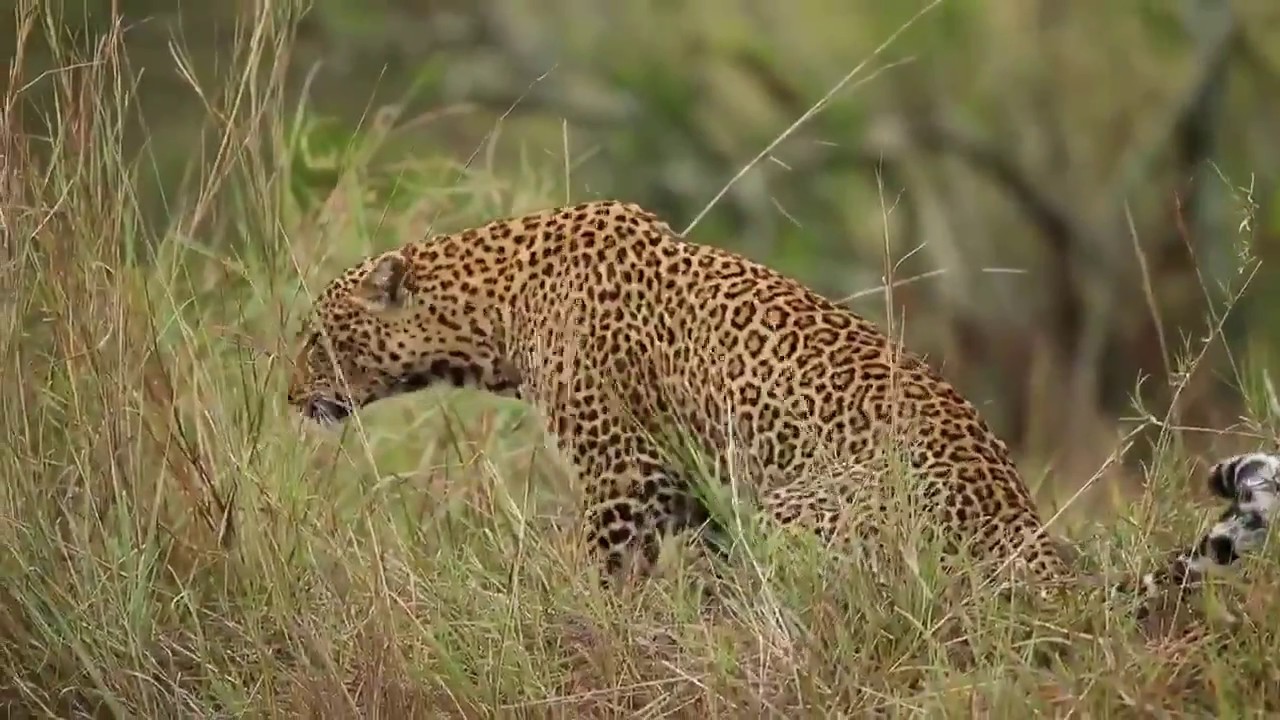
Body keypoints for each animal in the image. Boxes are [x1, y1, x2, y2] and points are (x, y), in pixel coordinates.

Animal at [286, 199, 1278, 618]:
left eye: (317, 337)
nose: (289, 396)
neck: (496, 308)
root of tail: (1030, 543)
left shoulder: (621, 469)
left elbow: (607, 577)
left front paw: (595, 636)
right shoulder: (696, 483)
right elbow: (703, 578)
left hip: (813, 514)